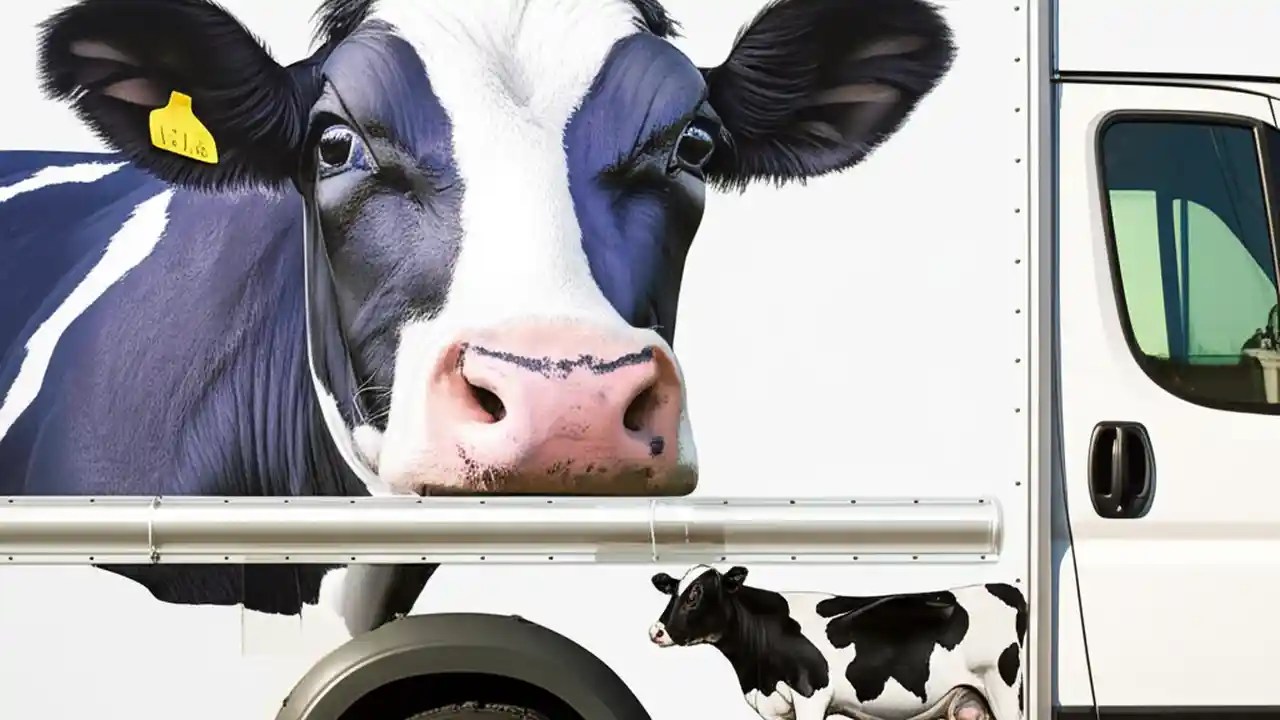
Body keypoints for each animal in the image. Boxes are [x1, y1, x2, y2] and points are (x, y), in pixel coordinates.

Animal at [647, 565, 1027, 720]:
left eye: (696, 594)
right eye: (674, 590)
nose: (656, 631)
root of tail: (1007, 588)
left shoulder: (811, 695)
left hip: (1003, 690)